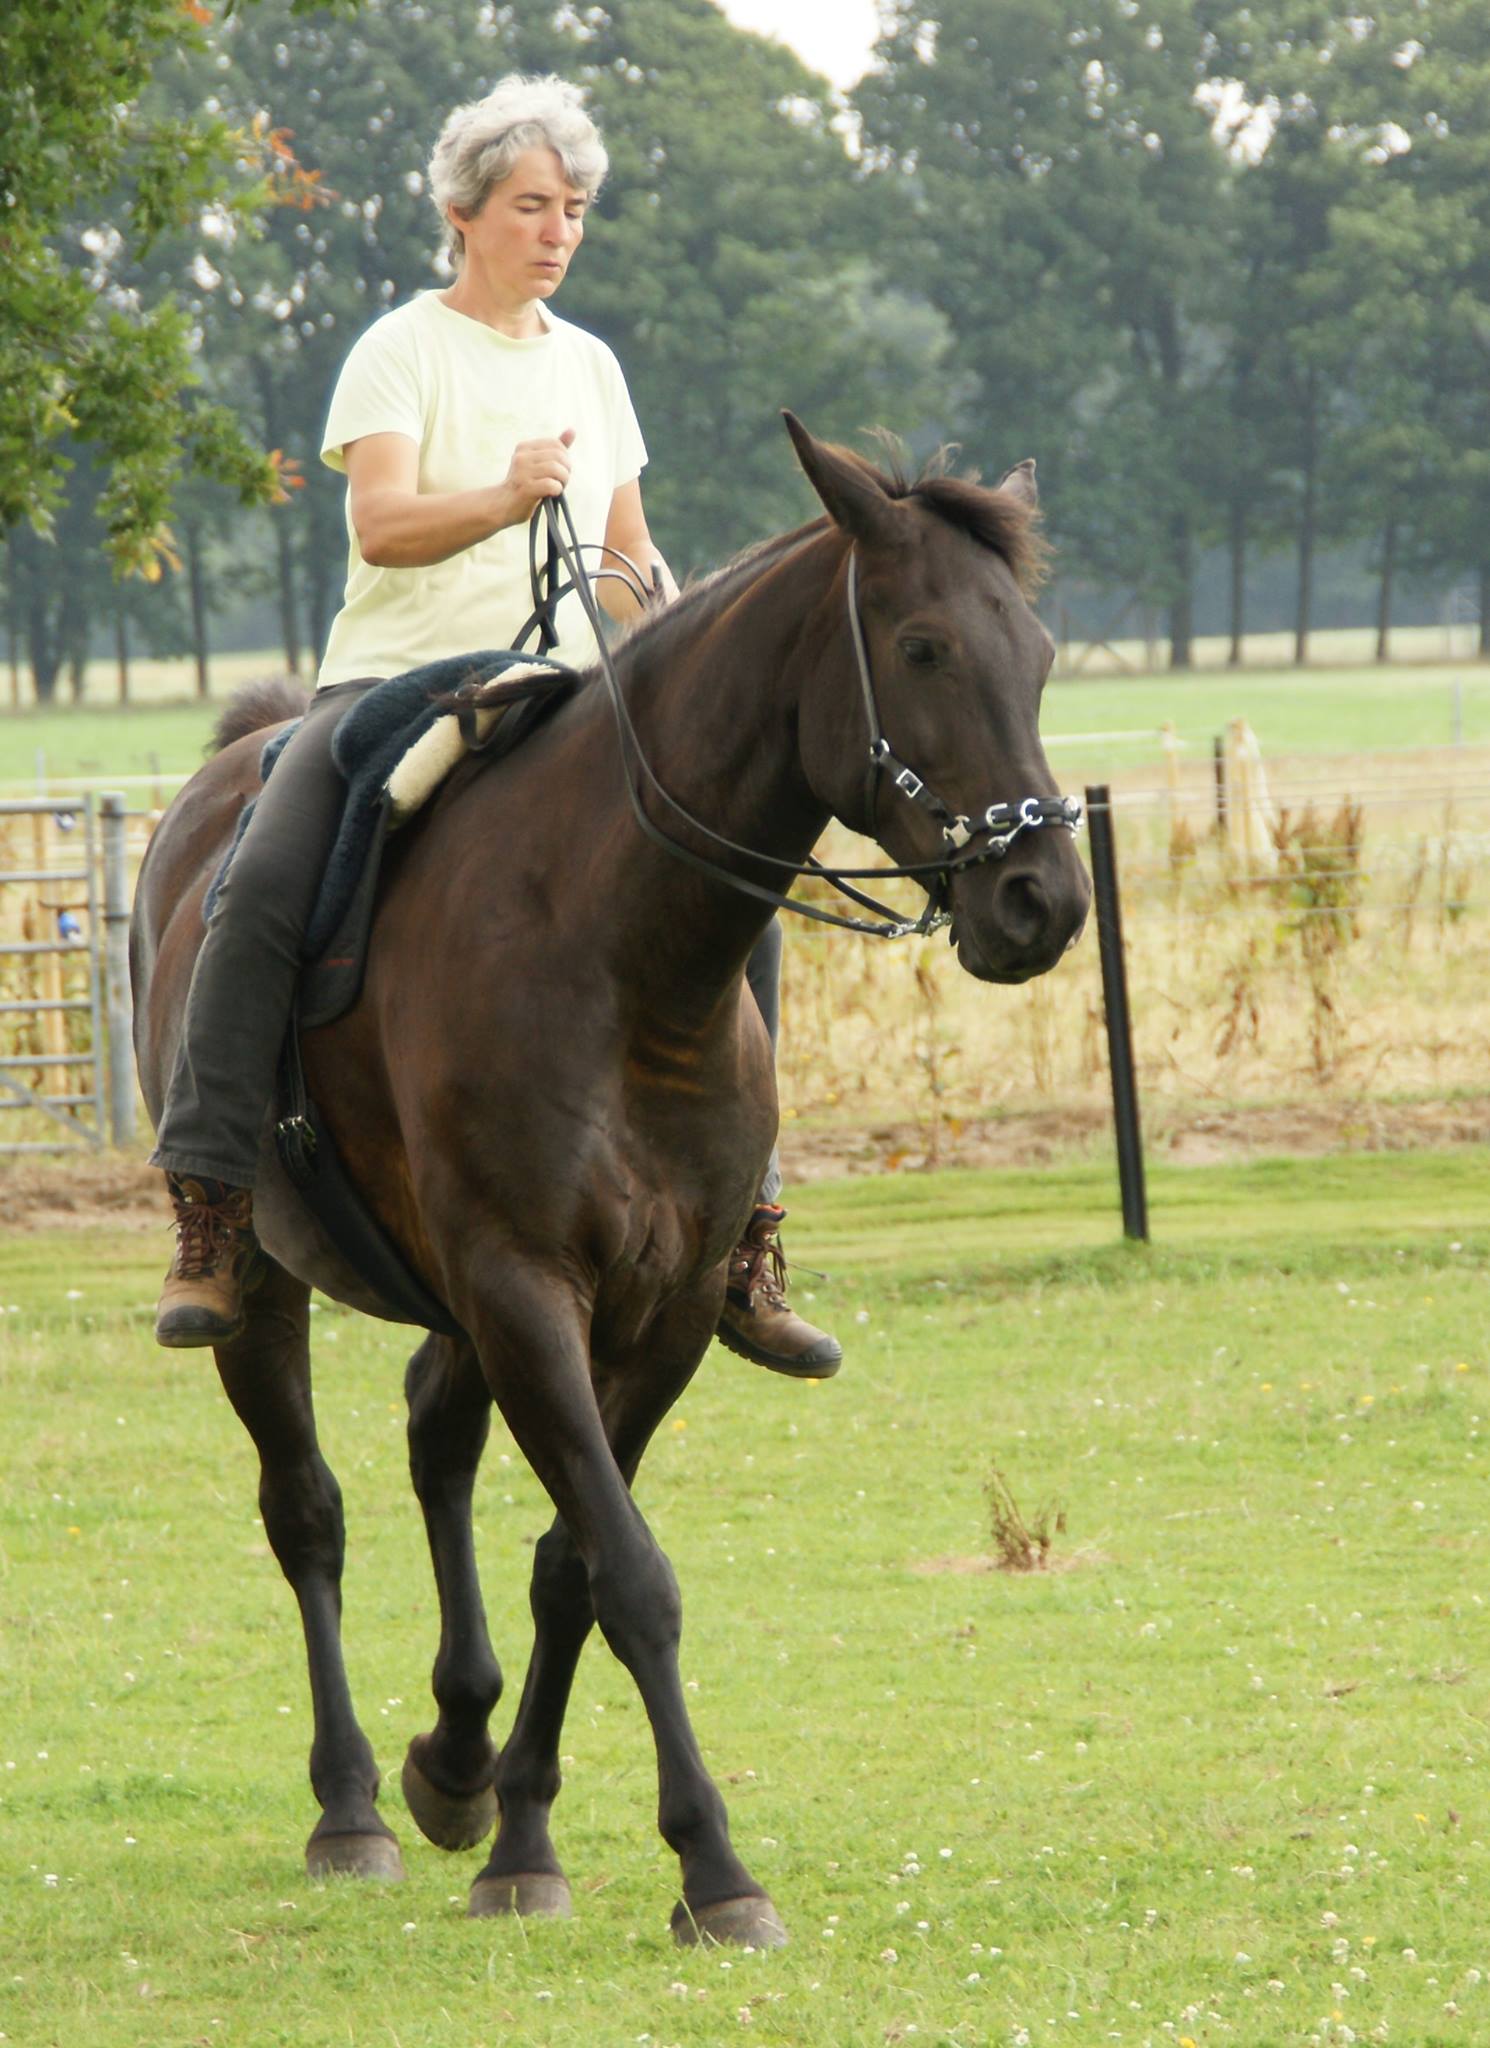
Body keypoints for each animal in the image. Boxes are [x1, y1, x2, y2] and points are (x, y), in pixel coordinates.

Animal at [129, 415, 1090, 1948]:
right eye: (926, 645)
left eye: (1039, 651)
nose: (1039, 900)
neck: (618, 951)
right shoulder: (527, 1289)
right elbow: (629, 1572)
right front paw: (713, 1867)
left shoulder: (666, 1308)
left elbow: (574, 1563)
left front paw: (519, 1827)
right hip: (277, 1287)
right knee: (308, 1512)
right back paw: (350, 1804)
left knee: (433, 1437)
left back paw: (452, 1756)